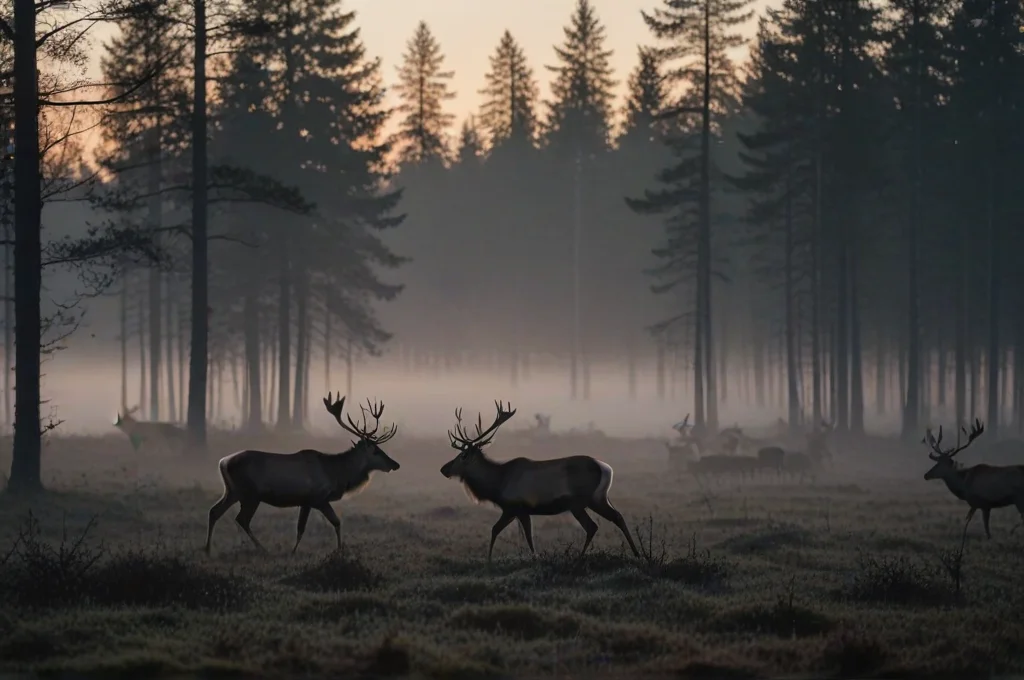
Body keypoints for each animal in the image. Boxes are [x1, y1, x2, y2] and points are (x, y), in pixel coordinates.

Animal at [204, 393, 400, 555]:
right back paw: (262, 549)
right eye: (375, 451)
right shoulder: (316, 498)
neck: (336, 474)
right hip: (250, 493)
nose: (395, 464)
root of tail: (223, 462)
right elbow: (328, 523)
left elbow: (307, 527)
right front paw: (335, 550)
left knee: (214, 511)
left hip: (232, 491)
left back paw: (208, 549)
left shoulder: (307, 501)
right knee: (241, 519)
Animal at [439, 401, 641, 563]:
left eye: (462, 455)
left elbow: (512, 533)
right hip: (599, 498)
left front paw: (495, 559)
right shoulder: (515, 510)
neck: (497, 483)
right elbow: (505, 531)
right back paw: (637, 553)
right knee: (616, 517)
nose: (444, 469)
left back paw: (581, 556)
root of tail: (606, 469)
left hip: (579, 501)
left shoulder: (516, 506)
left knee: (593, 525)